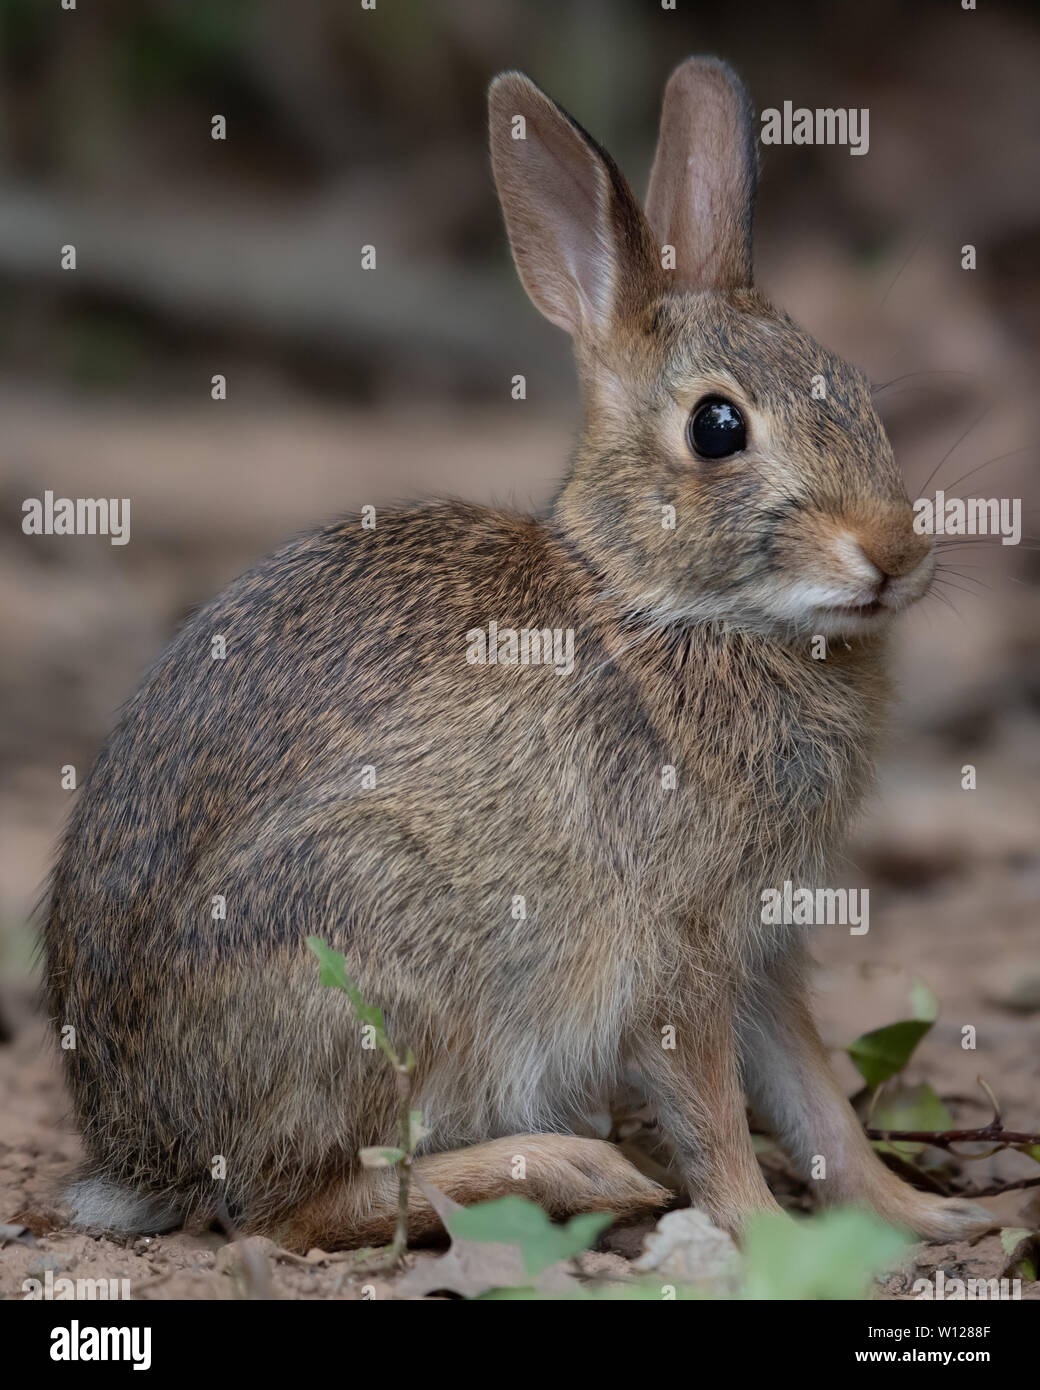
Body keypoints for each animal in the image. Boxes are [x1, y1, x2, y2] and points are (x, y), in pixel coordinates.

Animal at [43, 56, 992, 1251]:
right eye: (717, 428)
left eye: (859, 391)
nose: (894, 552)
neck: (659, 606)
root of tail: (138, 1147)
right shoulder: (673, 954)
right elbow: (716, 1115)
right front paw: (765, 1236)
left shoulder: (762, 948)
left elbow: (818, 1103)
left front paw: (922, 1216)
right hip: (383, 958)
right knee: (297, 1205)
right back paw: (577, 1170)